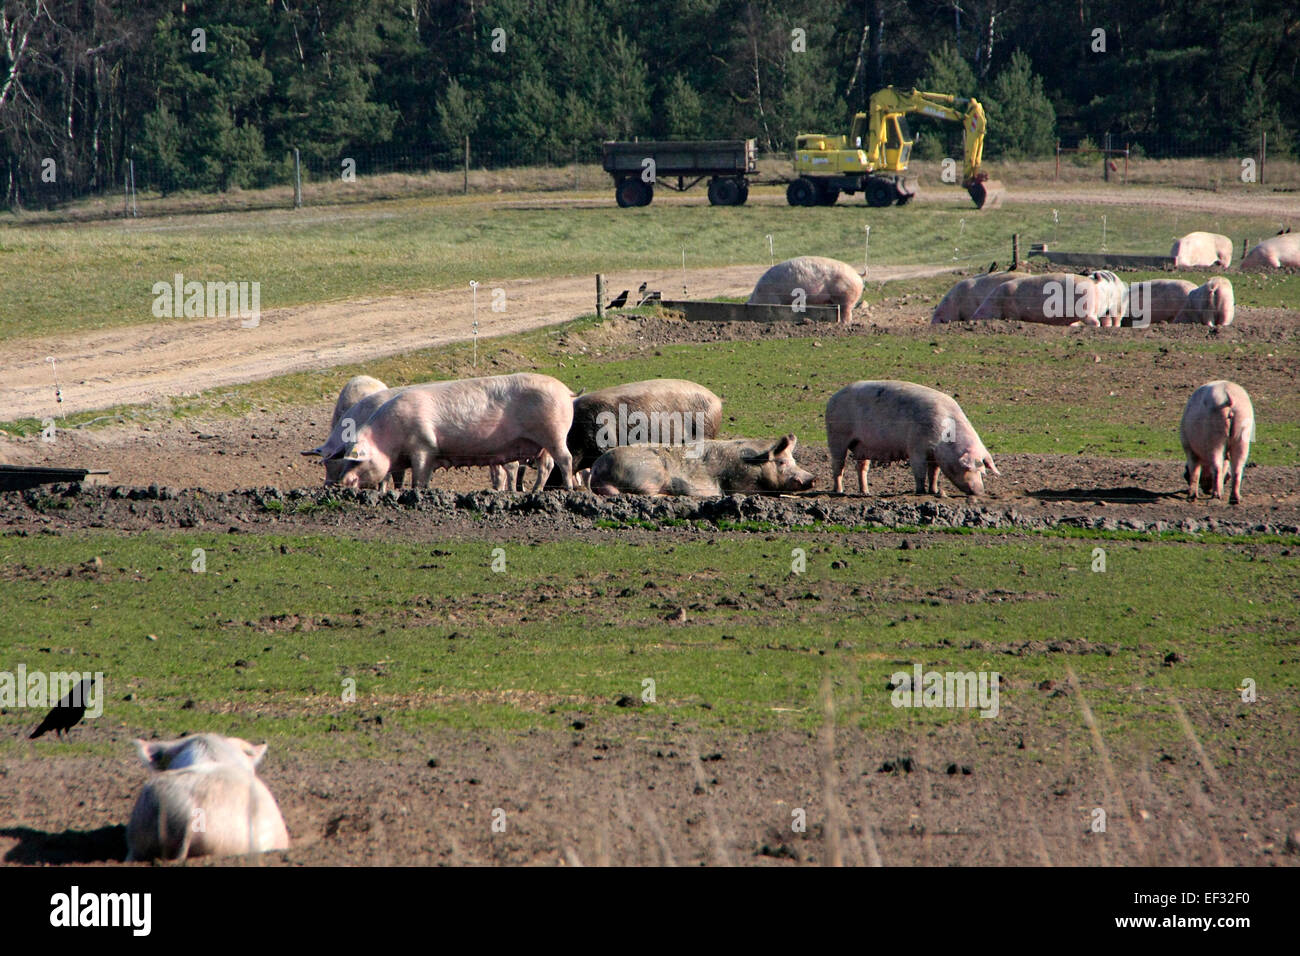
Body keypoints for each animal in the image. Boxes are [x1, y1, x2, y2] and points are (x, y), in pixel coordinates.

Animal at [331, 373, 575, 491]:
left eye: (355, 461)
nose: (342, 482)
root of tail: (566, 391)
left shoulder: (424, 446)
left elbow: (418, 477)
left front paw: (417, 493)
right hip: (543, 444)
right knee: (548, 465)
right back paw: (536, 491)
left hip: (554, 433)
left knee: (565, 459)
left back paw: (568, 489)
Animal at [587, 435, 814, 496]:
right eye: (782, 462)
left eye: (795, 461)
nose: (812, 478)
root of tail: (597, 470)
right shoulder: (740, 483)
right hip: (649, 474)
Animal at [825, 381, 1000, 497]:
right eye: (969, 468)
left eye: (982, 470)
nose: (980, 492)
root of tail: (832, 398)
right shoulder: (916, 447)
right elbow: (919, 470)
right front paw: (920, 492)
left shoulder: (935, 455)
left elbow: (934, 473)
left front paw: (934, 491)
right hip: (836, 436)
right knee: (838, 465)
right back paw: (839, 491)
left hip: (862, 446)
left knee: (861, 468)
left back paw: (866, 492)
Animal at [969, 273, 1103, 326]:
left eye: (983, 310)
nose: (972, 318)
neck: (998, 300)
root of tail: (1092, 282)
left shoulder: (1012, 312)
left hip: (1086, 308)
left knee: (1095, 322)